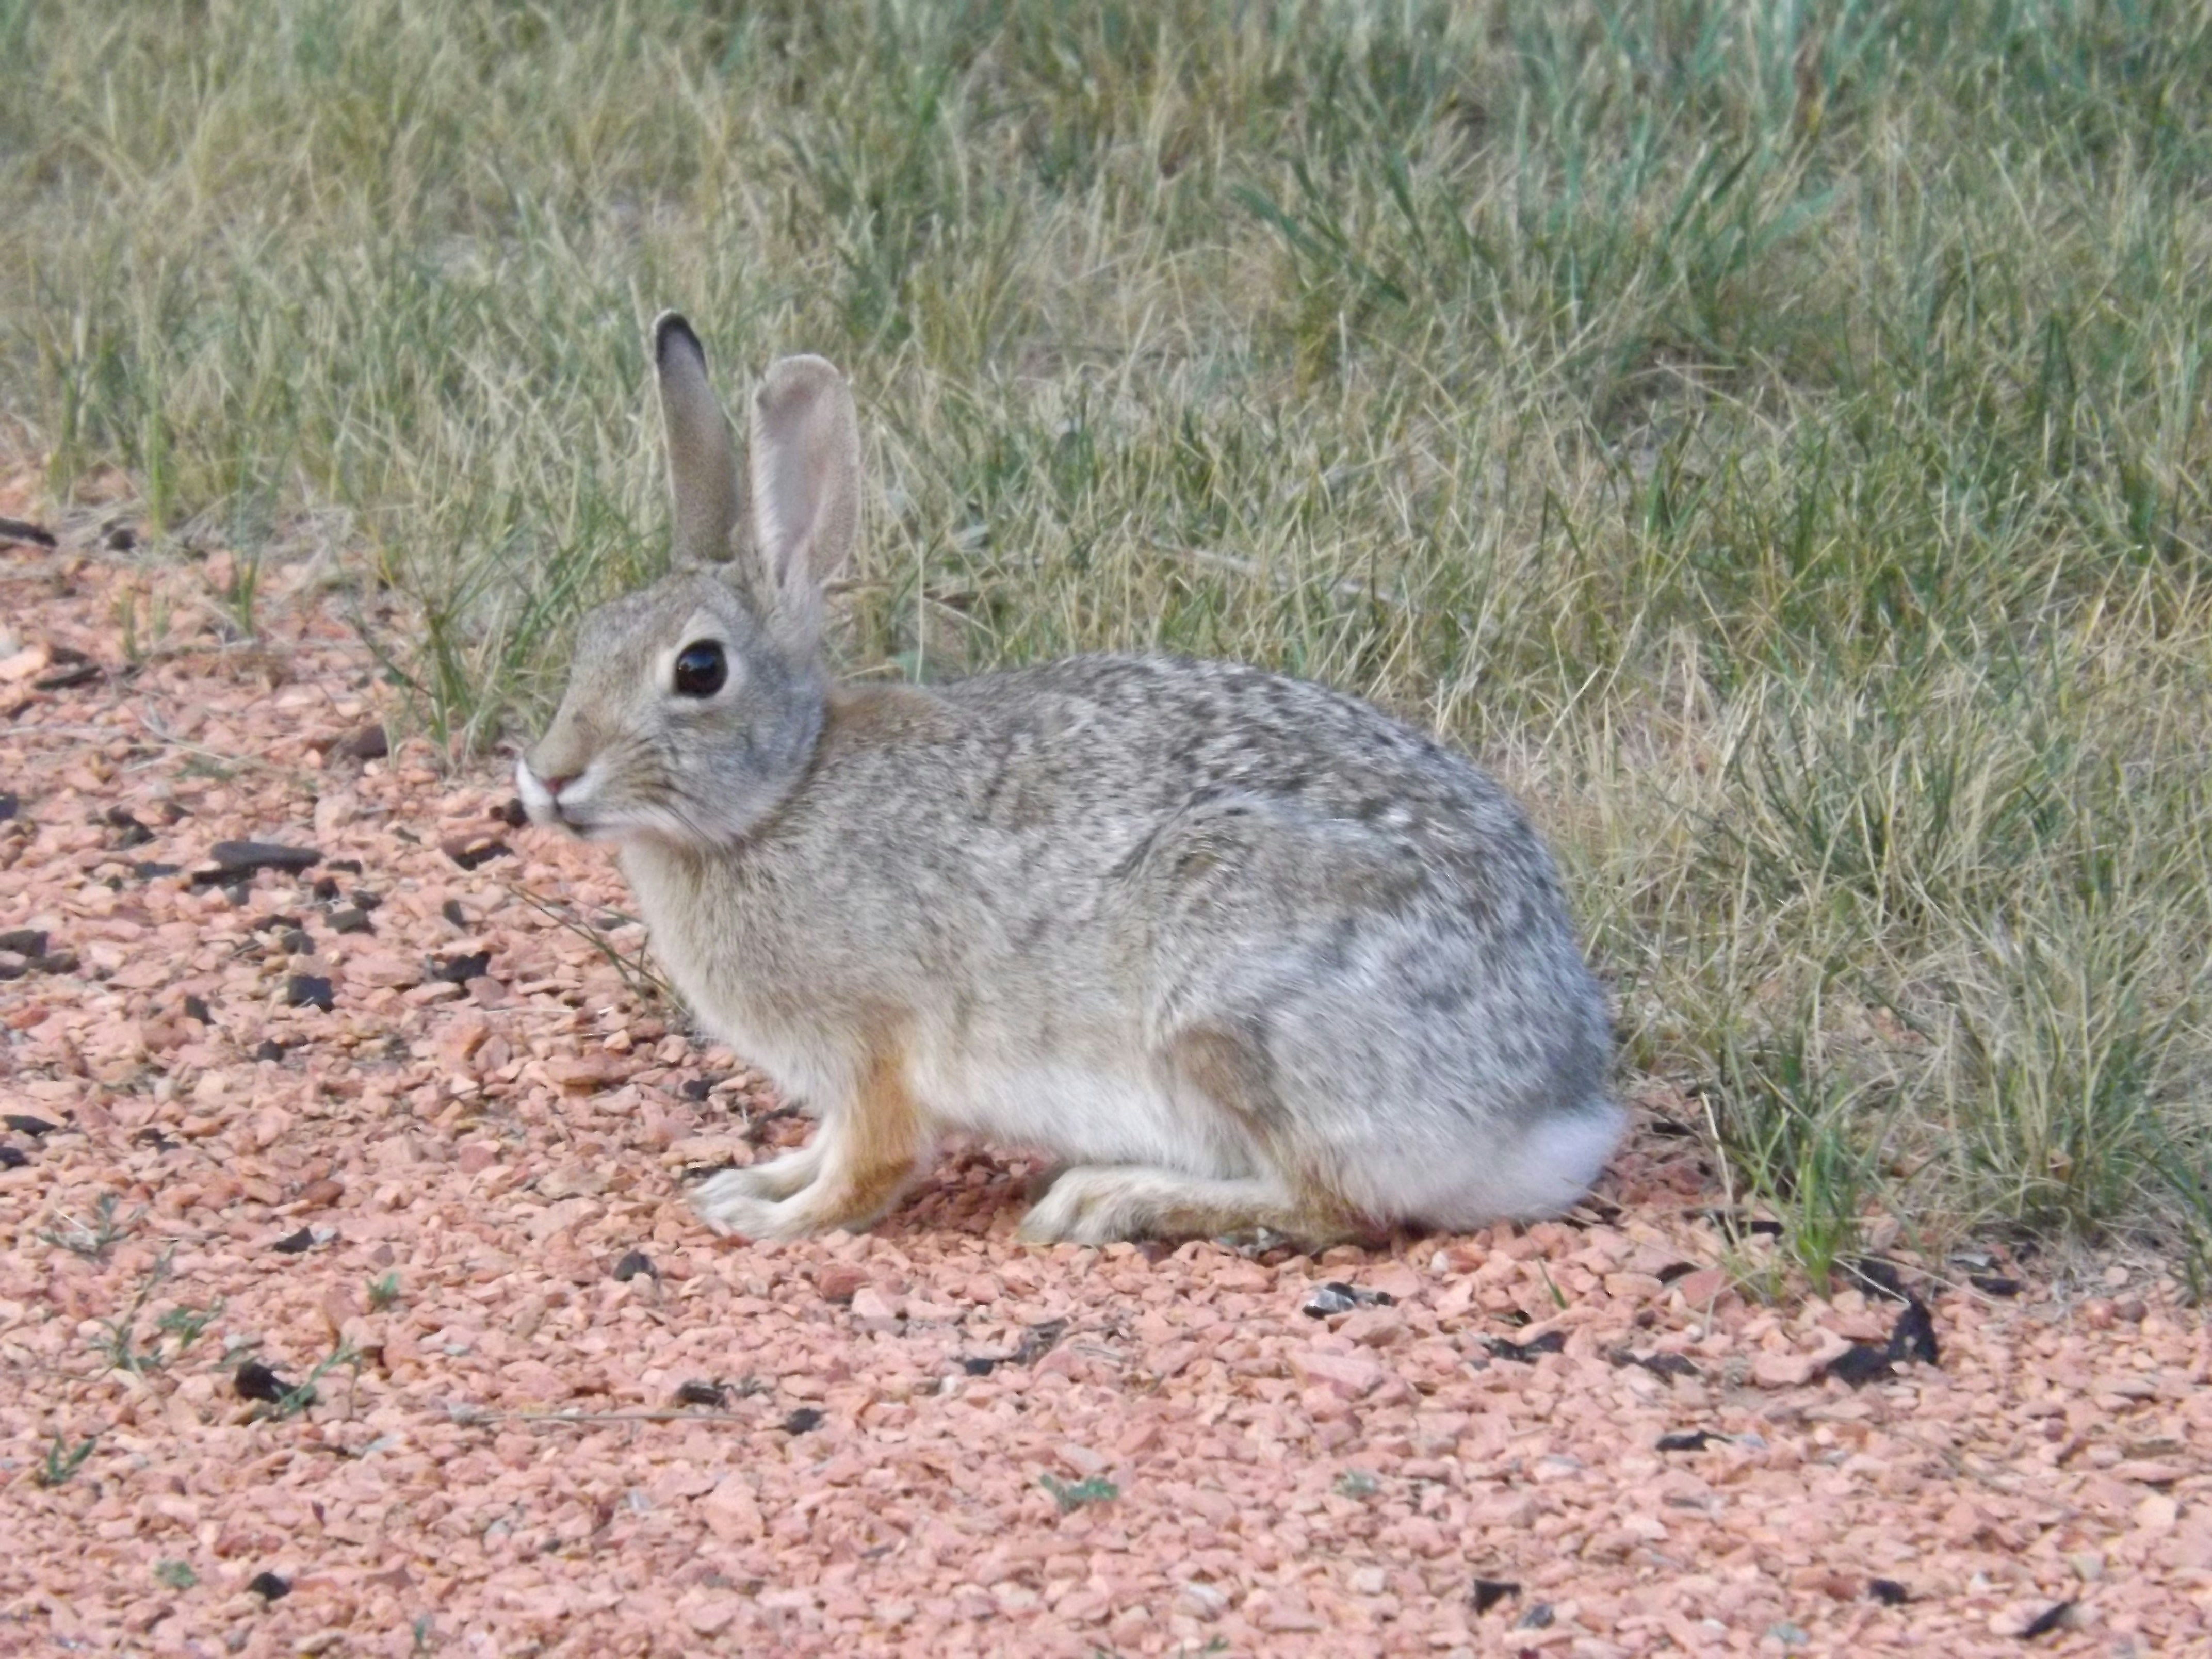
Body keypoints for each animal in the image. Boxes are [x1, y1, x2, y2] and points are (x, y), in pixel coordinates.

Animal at [517, 311, 1625, 1247]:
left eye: (699, 670)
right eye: (586, 640)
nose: (551, 779)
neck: (779, 799)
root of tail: (1550, 1106)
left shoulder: (876, 1046)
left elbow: (869, 1162)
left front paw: (772, 1219)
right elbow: (824, 1143)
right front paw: (752, 1181)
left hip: (1234, 1011)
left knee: (1335, 1206)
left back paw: (1111, 1199)